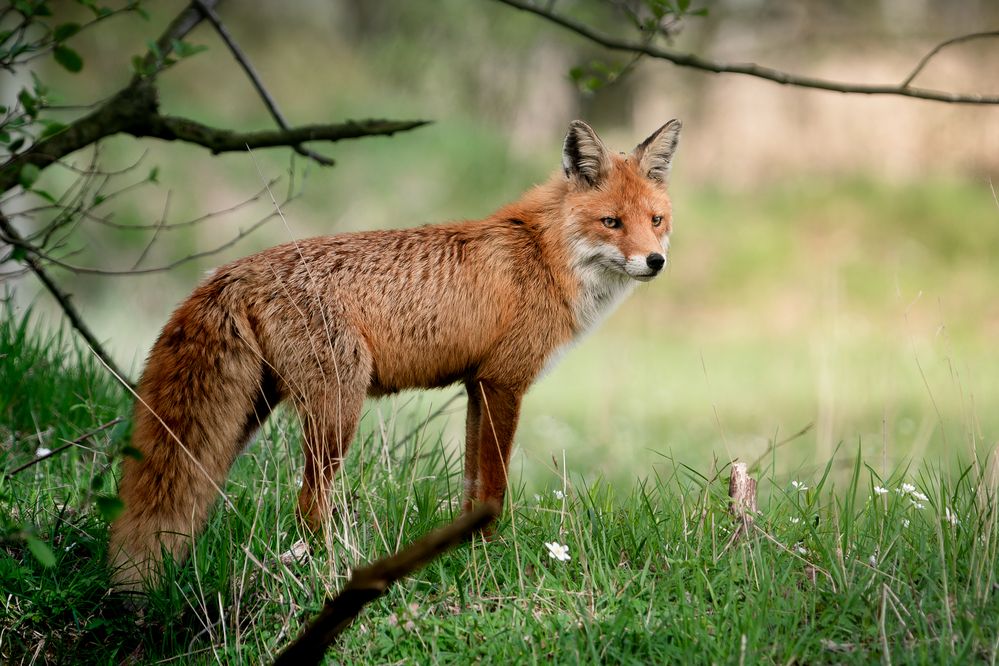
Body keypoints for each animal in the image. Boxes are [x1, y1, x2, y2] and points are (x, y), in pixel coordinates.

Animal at [109, 119, 682, 592]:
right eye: (611, 222)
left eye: (655, 220)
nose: (655, 261)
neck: (544, 255)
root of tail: (234, 270)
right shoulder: (504, 382)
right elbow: (494, 486)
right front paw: (490, 554)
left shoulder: (476, 385)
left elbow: (471, 484)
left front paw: (463, 550)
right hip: (337, 413)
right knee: (308, 503)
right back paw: (326, 562)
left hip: (248, 418)